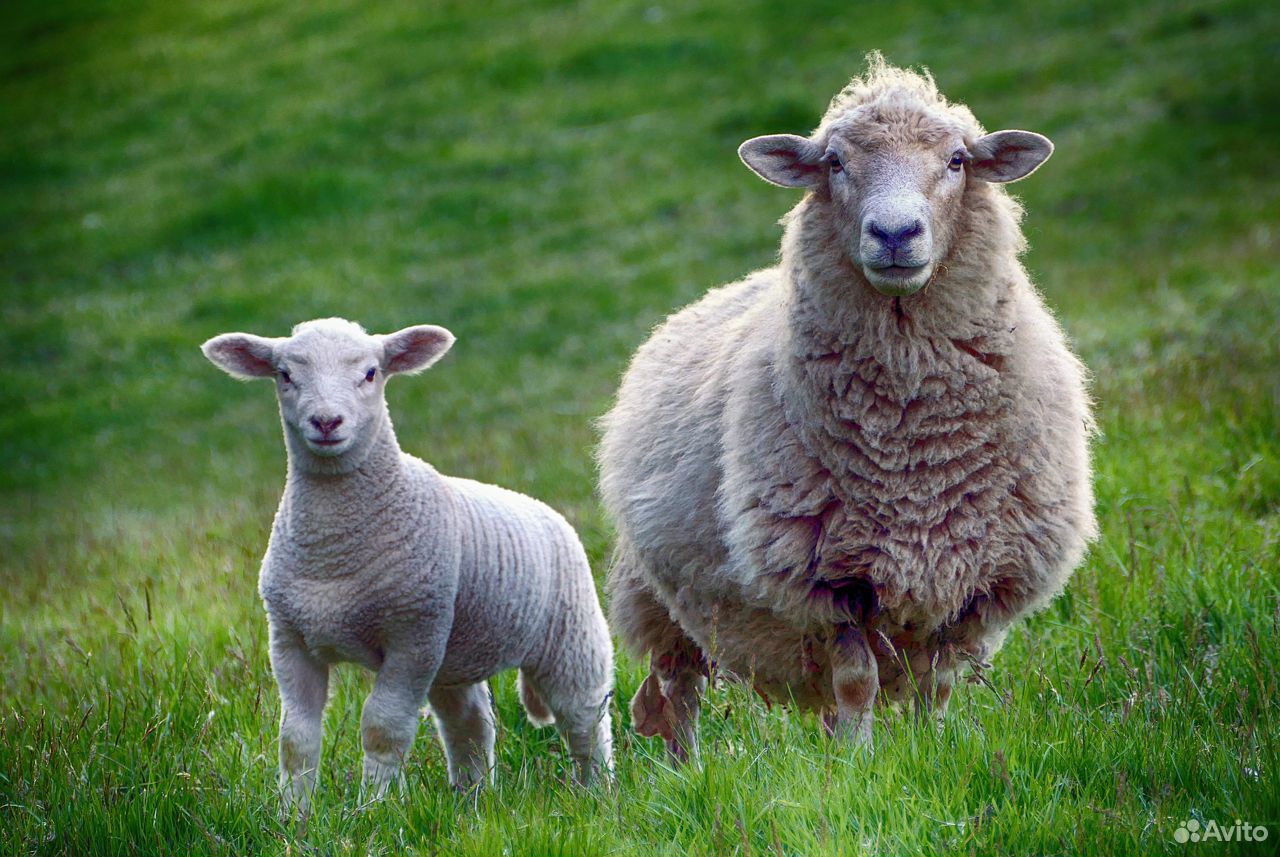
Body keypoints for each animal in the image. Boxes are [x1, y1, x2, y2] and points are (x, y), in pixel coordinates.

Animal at [201, 318, 613, 814]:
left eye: (371, 373)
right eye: (284, 375)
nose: (326, 422)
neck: (333, 552)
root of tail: (546, 511)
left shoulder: (411, 636)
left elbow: (383, 728)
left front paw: (370, 809)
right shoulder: (290, 639)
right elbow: (295, 738)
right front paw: (292, 814)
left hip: (569, 635)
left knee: (585, 717)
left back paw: (597, 793)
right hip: (453, 653)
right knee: (470, 725)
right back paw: (471, 799)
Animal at [599, 55, 1096, 760]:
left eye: (957, 160)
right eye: (834, 162)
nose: (894, 233)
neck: (914, 448)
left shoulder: (974, 578)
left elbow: (937, 686)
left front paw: (929, 751)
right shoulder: (830, 580)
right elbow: (857, 682)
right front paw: (859, 765)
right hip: (658, 598)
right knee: (678, 690)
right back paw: (687, 768)